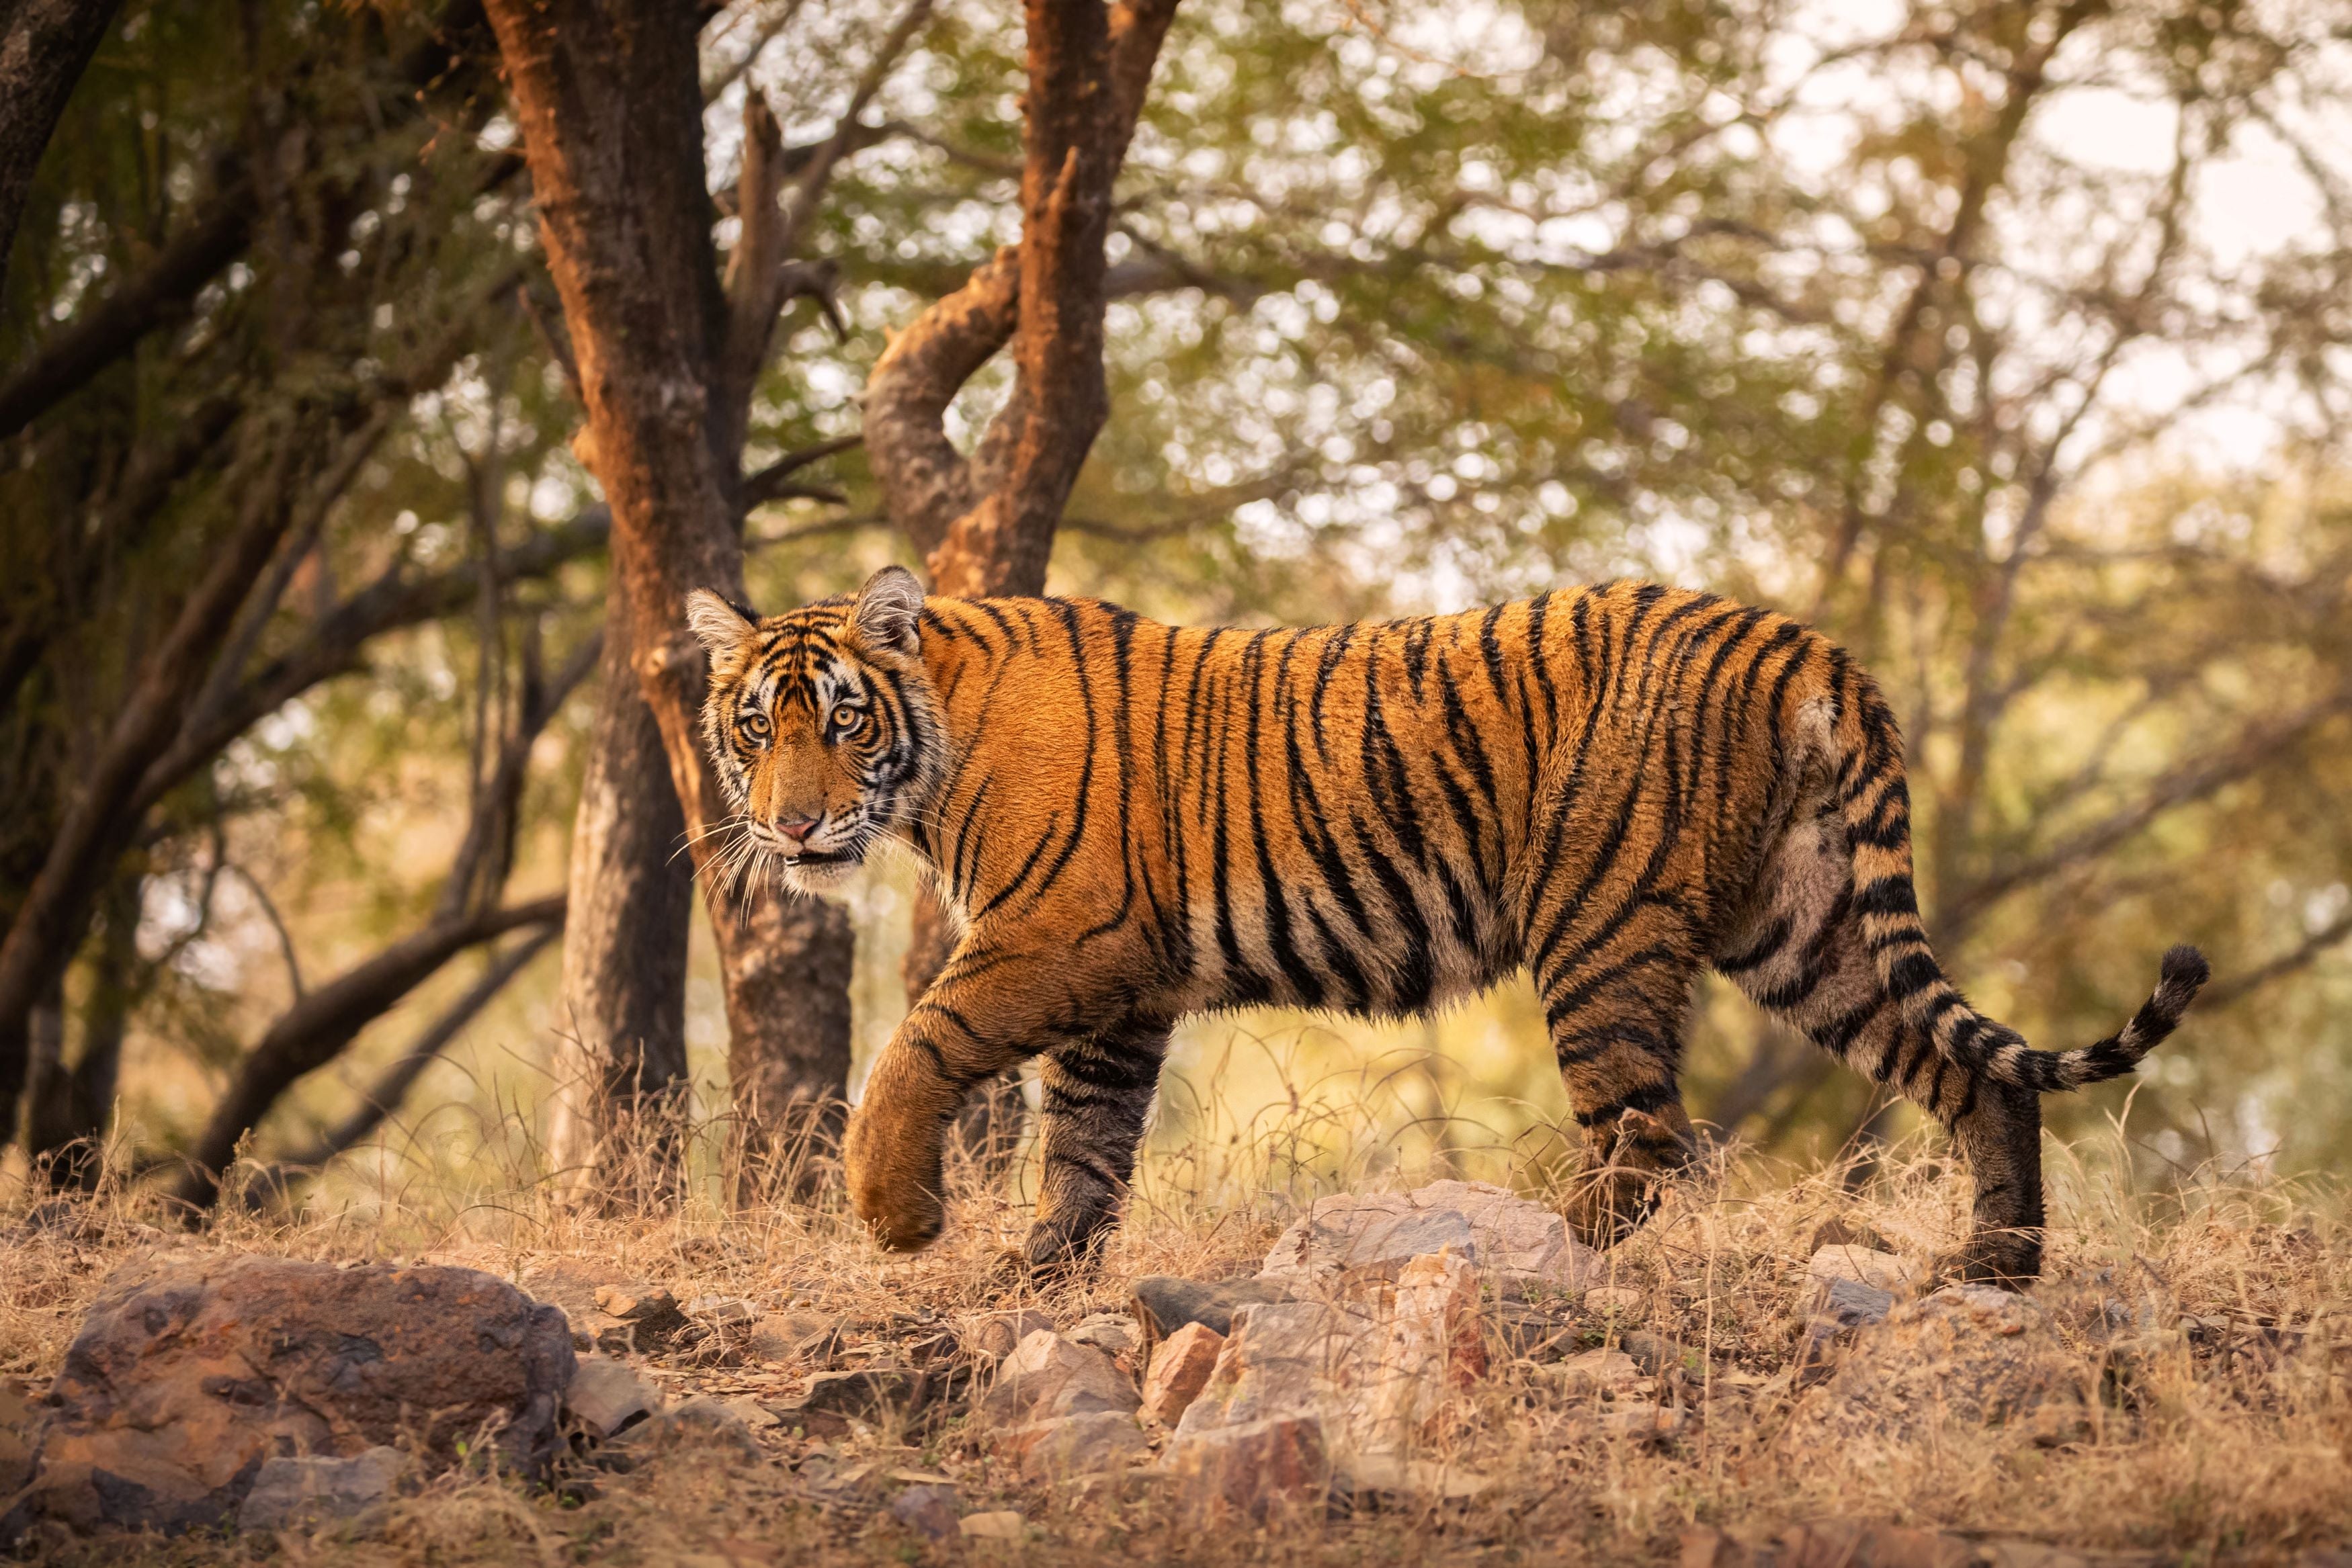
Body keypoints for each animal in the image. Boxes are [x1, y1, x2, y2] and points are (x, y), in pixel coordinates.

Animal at [685, 566, 2209, 1285]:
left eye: (841, 721)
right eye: (754, 728)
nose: (793, 827)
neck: (932, 753)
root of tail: (1803, 643)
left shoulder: (1064, 935)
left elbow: (919, 1043)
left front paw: (898, 1218)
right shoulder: (1125, 991)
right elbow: (1087, 1148)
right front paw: (1037, 1272)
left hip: (1598, 924)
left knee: (1646, 1137)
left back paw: (1529, 1252)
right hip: (1809, 926)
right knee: (1974, 1077)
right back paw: (1996, 1267)